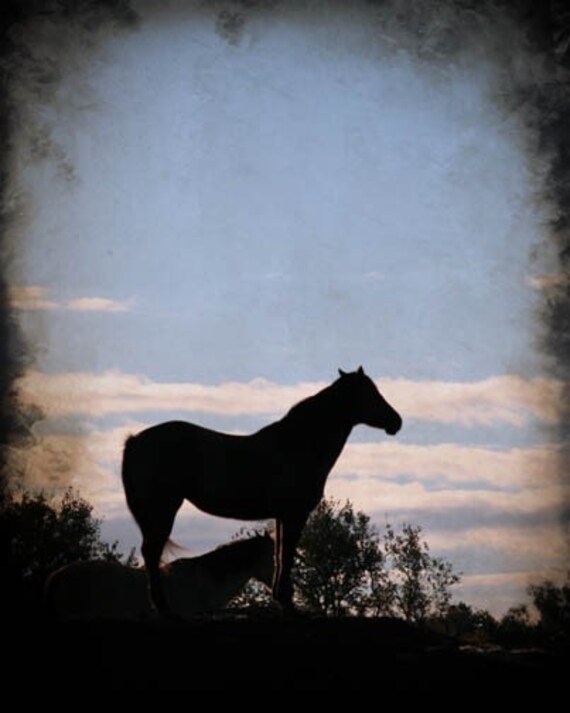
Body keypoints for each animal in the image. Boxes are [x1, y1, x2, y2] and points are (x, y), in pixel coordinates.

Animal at [121, 366, 402, 614]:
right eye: (371, 393)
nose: (396, 422)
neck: (297, 445)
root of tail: (135, 440)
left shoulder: (281, 516)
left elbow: (278, 554)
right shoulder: (295, 514)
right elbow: (287, 555)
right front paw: (288, 604)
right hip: (163, 508)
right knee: (151, 551)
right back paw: (163, 607)